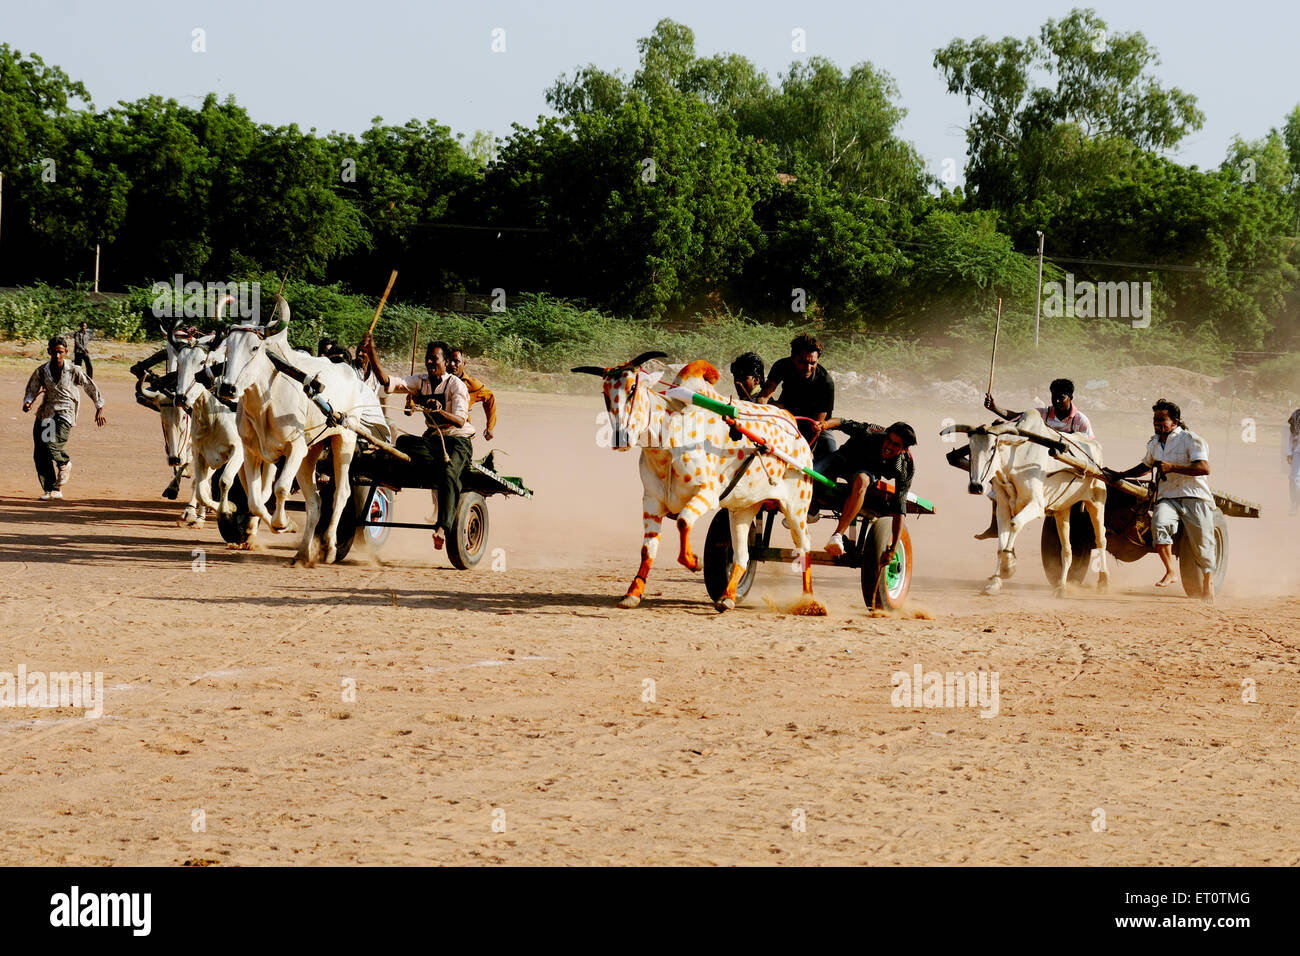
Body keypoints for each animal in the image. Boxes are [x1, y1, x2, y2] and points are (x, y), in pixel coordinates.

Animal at [574, 353, 816, 613]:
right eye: (605, 393)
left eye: (631, 389)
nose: (621, 438)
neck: (670, 437)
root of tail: (798, 431)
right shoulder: (651, 501)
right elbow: (647, 550)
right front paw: (633, 593)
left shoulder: (706, 494)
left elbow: (682, 522)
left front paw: (694, 562)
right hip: (742, 510)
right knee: (742, 556)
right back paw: (728, 597)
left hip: (796, 509)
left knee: (804, 549)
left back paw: (809, 601)